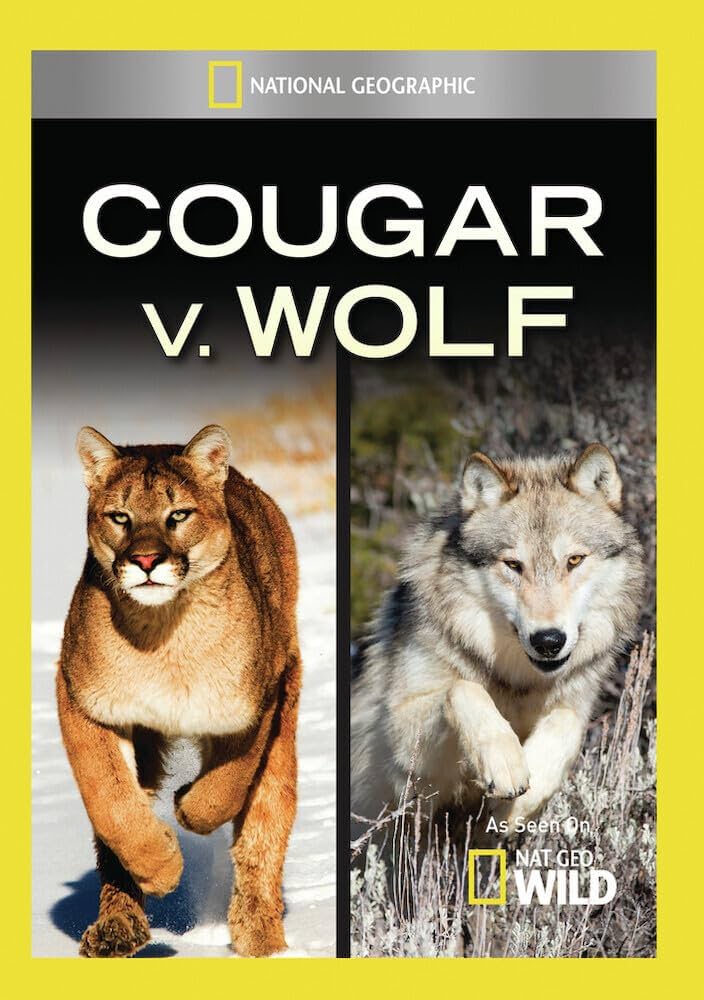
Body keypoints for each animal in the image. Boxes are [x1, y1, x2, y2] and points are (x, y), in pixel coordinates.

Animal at [57, 424, 301, 958]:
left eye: (178, 516)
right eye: (120, 517)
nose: (147, 560)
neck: (162, 637)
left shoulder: (257, 704)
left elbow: (227, 785)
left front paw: (190, 808)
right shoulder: (81, 699)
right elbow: (109, 797)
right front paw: (160, 866)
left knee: (264, 826)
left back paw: (260, 936)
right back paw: (117, 928)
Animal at [351, 444, 644, 843]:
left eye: (574, 560)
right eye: (513, 565)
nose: (548, 640)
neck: (517, 681)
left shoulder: (576, 704)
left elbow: (567, 722)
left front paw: (515, 805)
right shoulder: (401, 750)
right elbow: (462, 688)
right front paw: (505, 762)